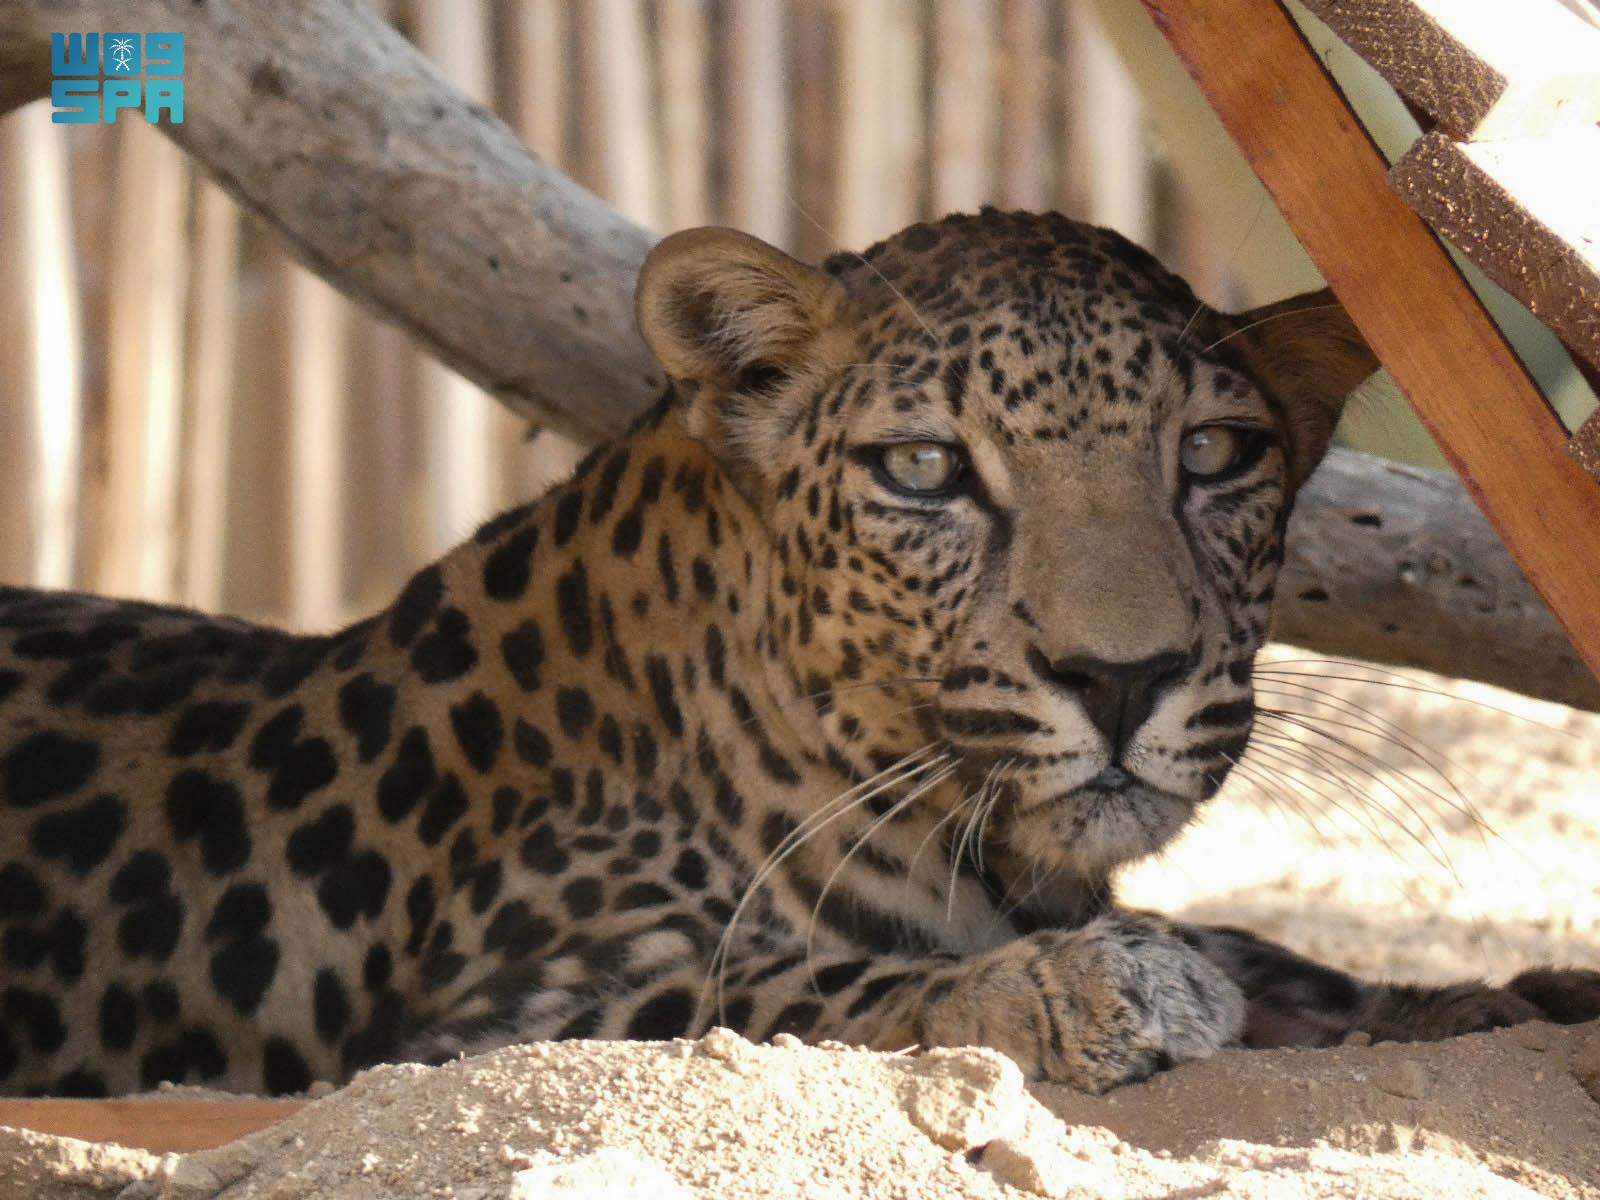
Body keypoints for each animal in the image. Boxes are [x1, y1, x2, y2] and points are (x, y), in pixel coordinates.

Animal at [3, 209, 1597, 1100]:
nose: (1123, 678)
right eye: (925, 470)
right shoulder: (491, 1018)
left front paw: (1485, 999)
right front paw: (1095, 989)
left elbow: (1271, 944)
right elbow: (792, 987)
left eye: (1211, 456)